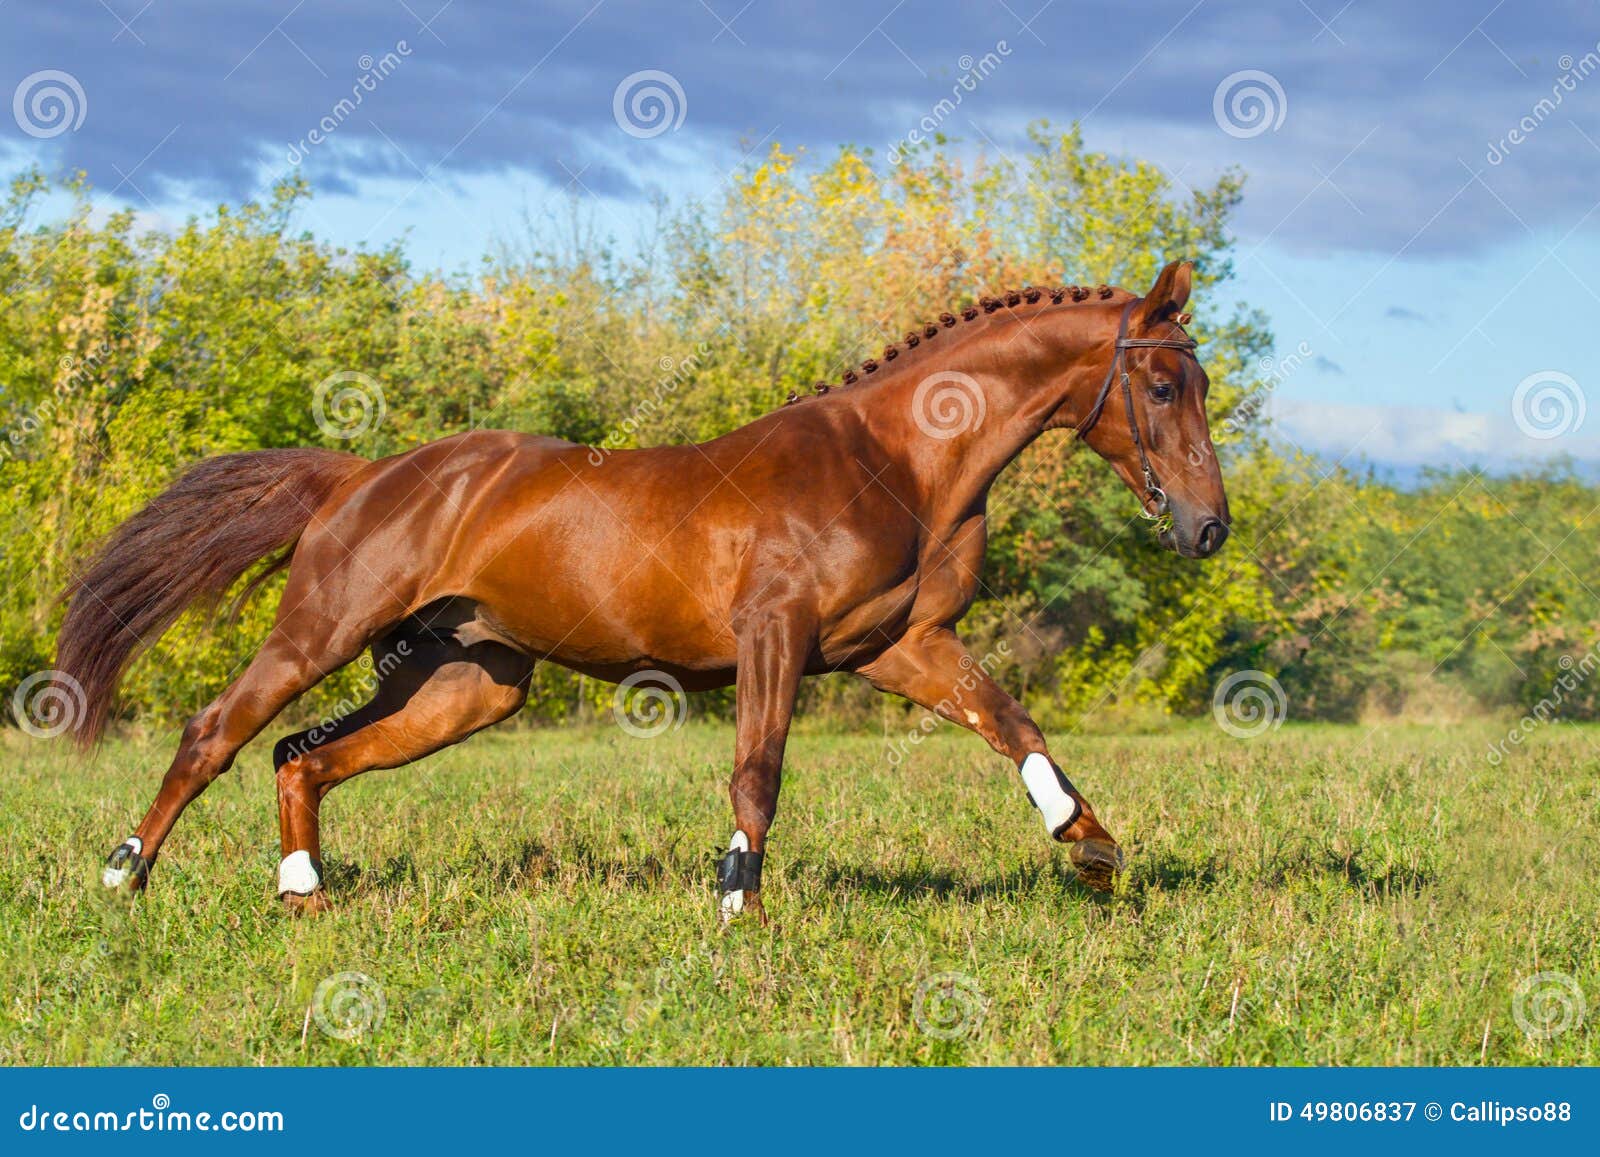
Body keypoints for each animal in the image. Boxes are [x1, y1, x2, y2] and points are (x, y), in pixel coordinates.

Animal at [57, 259, 1228, 922]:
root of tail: (362, 474)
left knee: (305, 757)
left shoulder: (901, 645)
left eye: (1199, 379)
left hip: (469, 681)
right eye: (1161, 381)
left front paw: (1091, 848)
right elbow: (757, 774)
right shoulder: (775, 634)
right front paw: (736, 903)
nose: (1205, 526)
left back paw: (303, 891)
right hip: (323, 631)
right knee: (218, 732)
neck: (895, 460)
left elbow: (1011, 722)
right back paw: (123, 876)